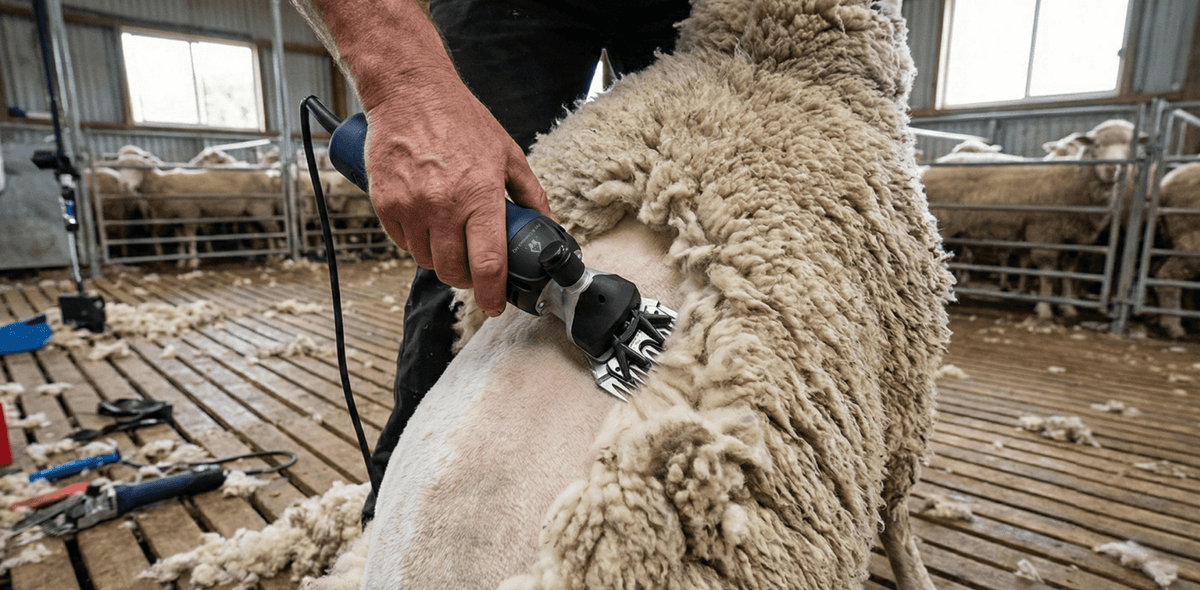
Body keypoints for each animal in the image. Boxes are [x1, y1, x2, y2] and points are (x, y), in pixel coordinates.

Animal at [922, 120, 1138, 320]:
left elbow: (1069, 274)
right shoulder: (1044, 232)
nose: (1112, 168)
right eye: (1097, 145)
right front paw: (1044, 309)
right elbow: (1048, 274)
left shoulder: (1074, 240)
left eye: (1129, 147)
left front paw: (1068, 307)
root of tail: (928, 169)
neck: (1074, 180)